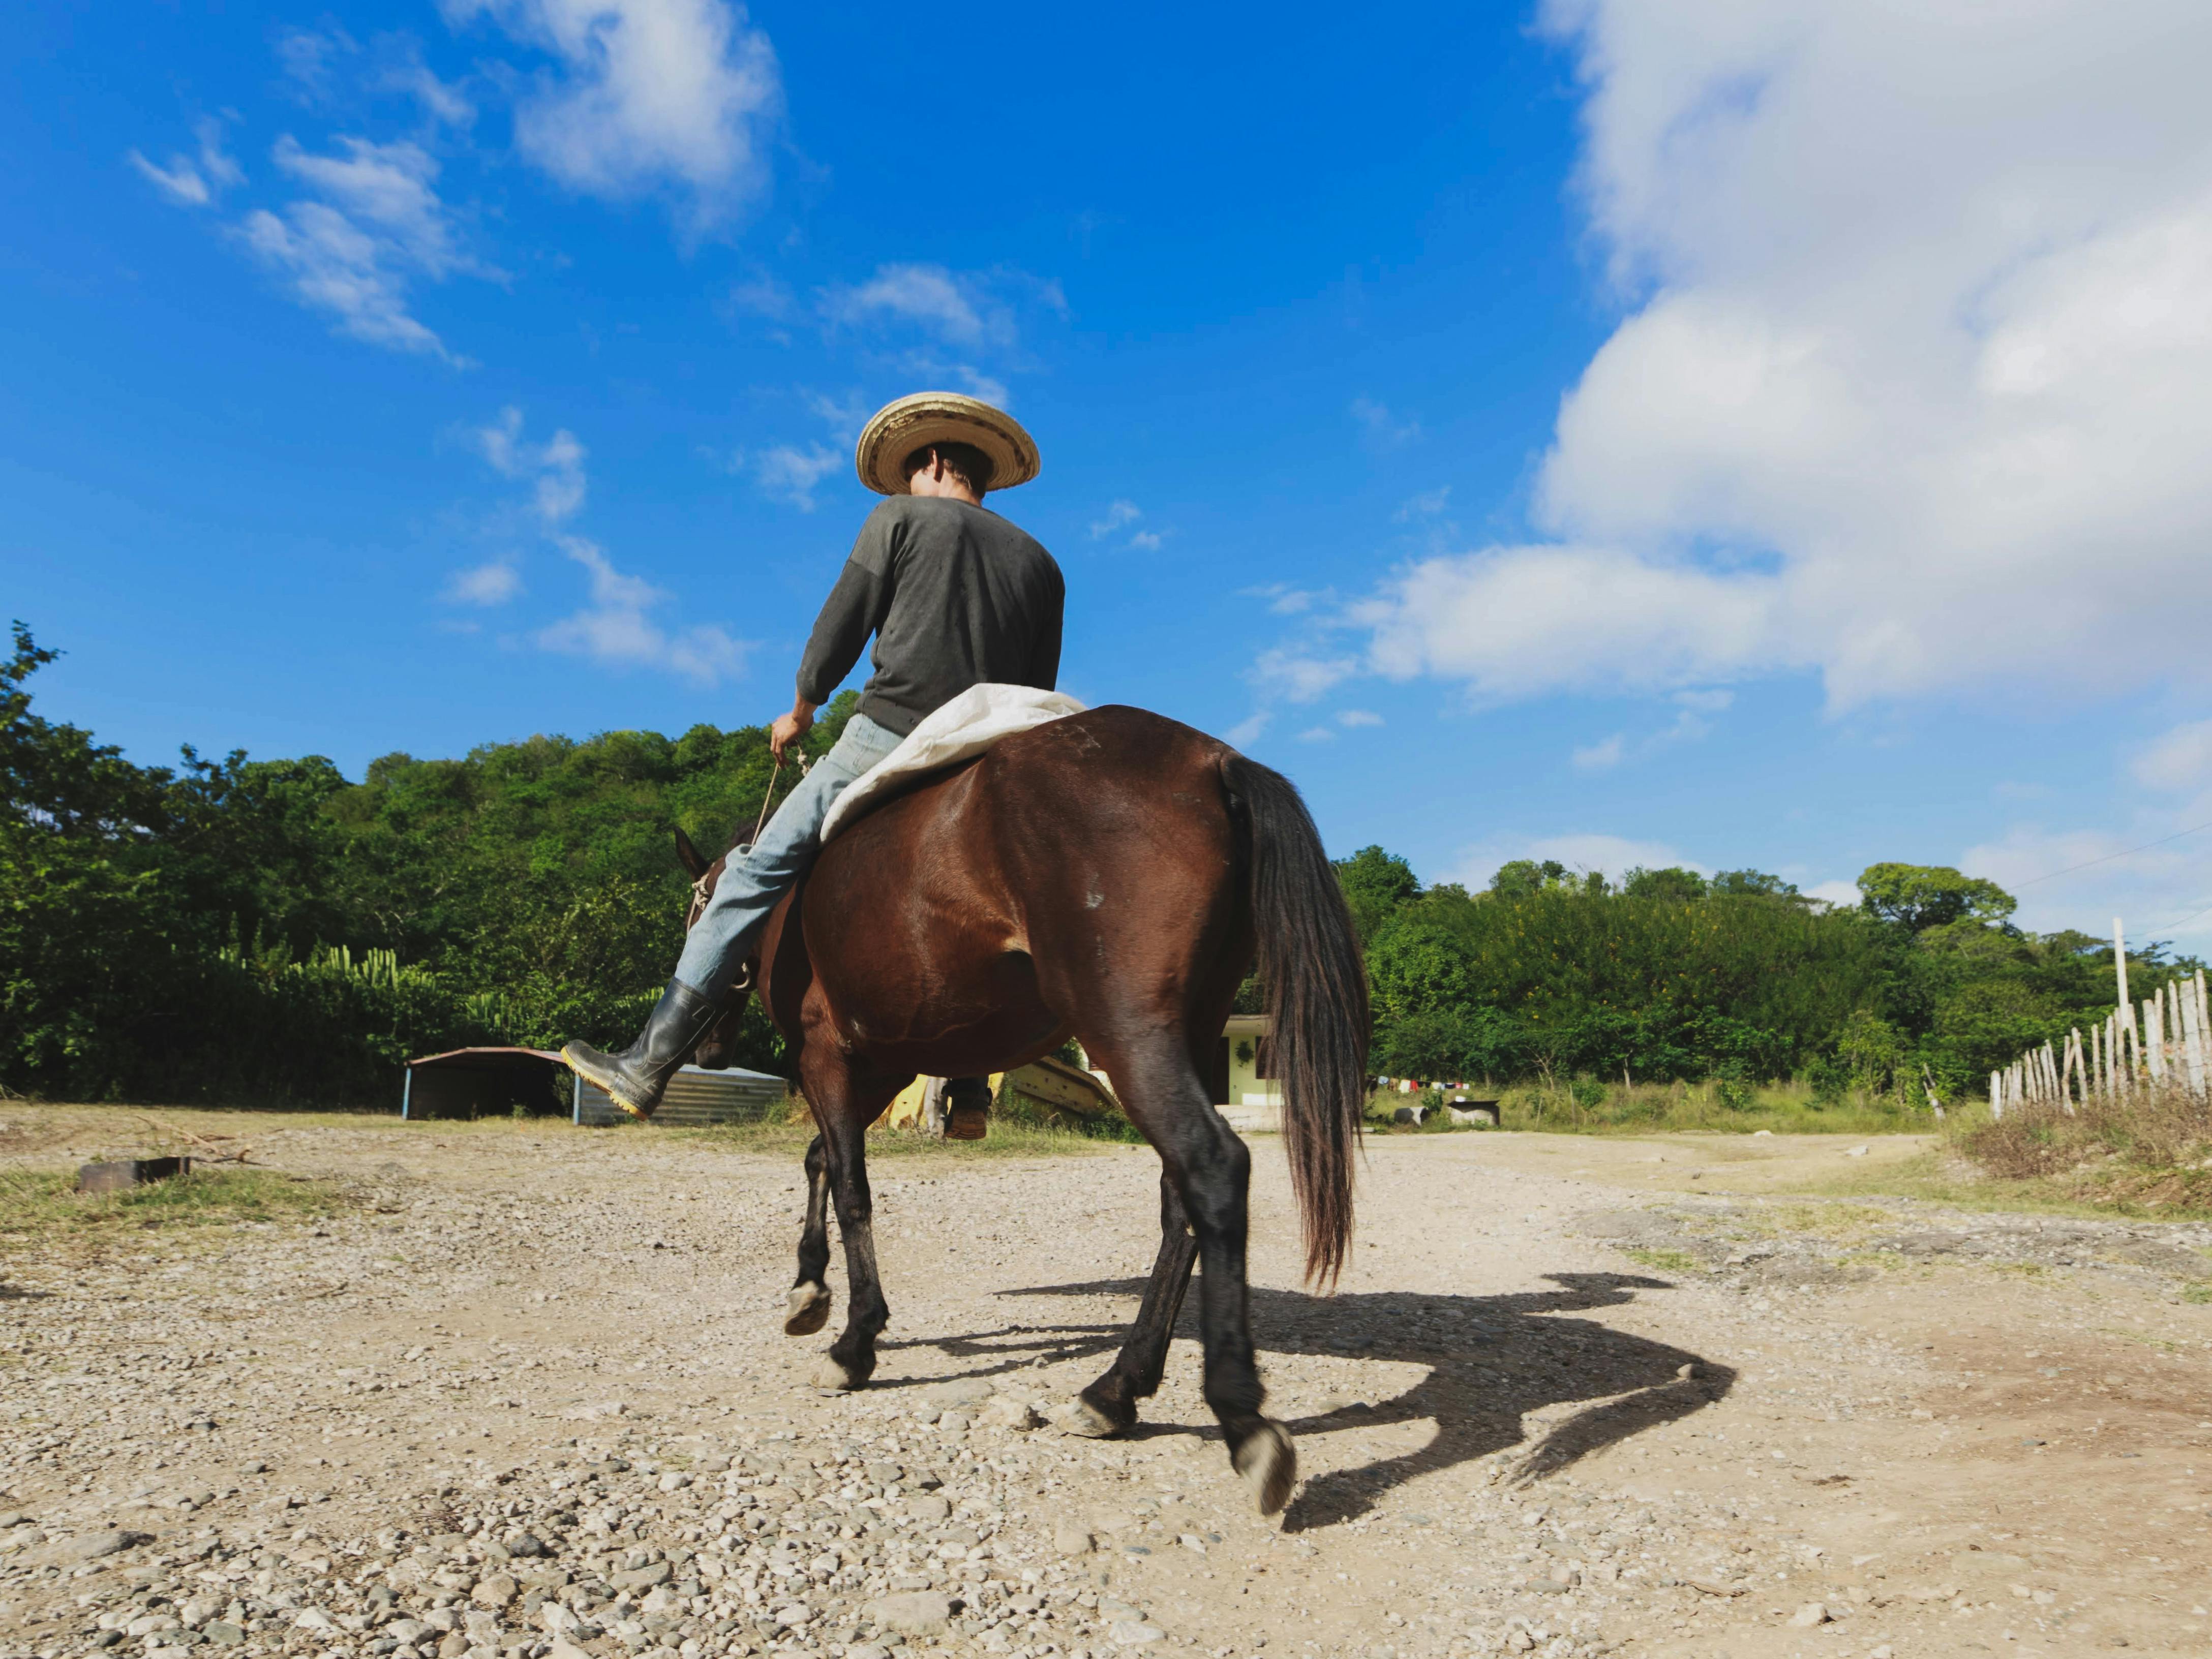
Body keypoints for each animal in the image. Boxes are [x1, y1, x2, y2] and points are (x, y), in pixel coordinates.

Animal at [671, 705, 1367, 1514]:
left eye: (700, 911)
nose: (709, 1050)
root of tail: (1211, 762)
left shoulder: (829, 1055)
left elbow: (849, 1186)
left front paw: (854, 1341)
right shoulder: (881, 1063)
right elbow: (821, 1160)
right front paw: (808, 1290)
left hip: (1126, 1029)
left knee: (1212, 1167)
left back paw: (1238, 1415)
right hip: (1189, 1028)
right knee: (1180, 1204)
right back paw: (1115, 1390)